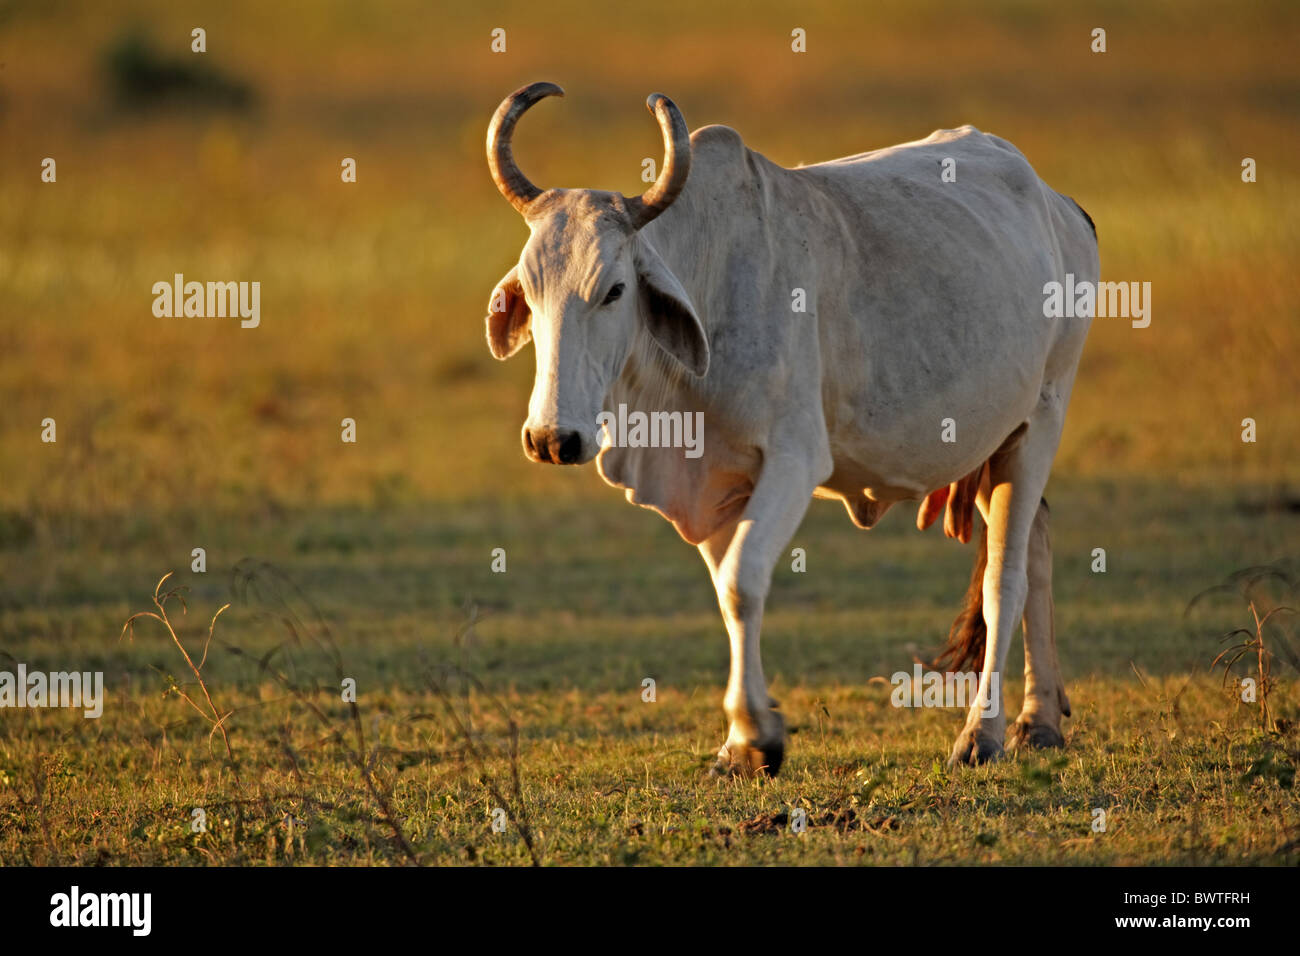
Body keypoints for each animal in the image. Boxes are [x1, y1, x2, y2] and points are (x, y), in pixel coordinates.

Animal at [483, 81, 1095, 775]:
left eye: (614, 290)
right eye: (531, 293)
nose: (551, 439)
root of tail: (1062, 207)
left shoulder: (794, 461)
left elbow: (744, 581)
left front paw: (756, 735)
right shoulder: (714, 482)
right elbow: (730, 594)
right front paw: (744, 743)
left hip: (1039, 420)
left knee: (1005, 578)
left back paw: (983, 732)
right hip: (990, 443)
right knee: (1036, 541)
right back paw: (1039, 720)